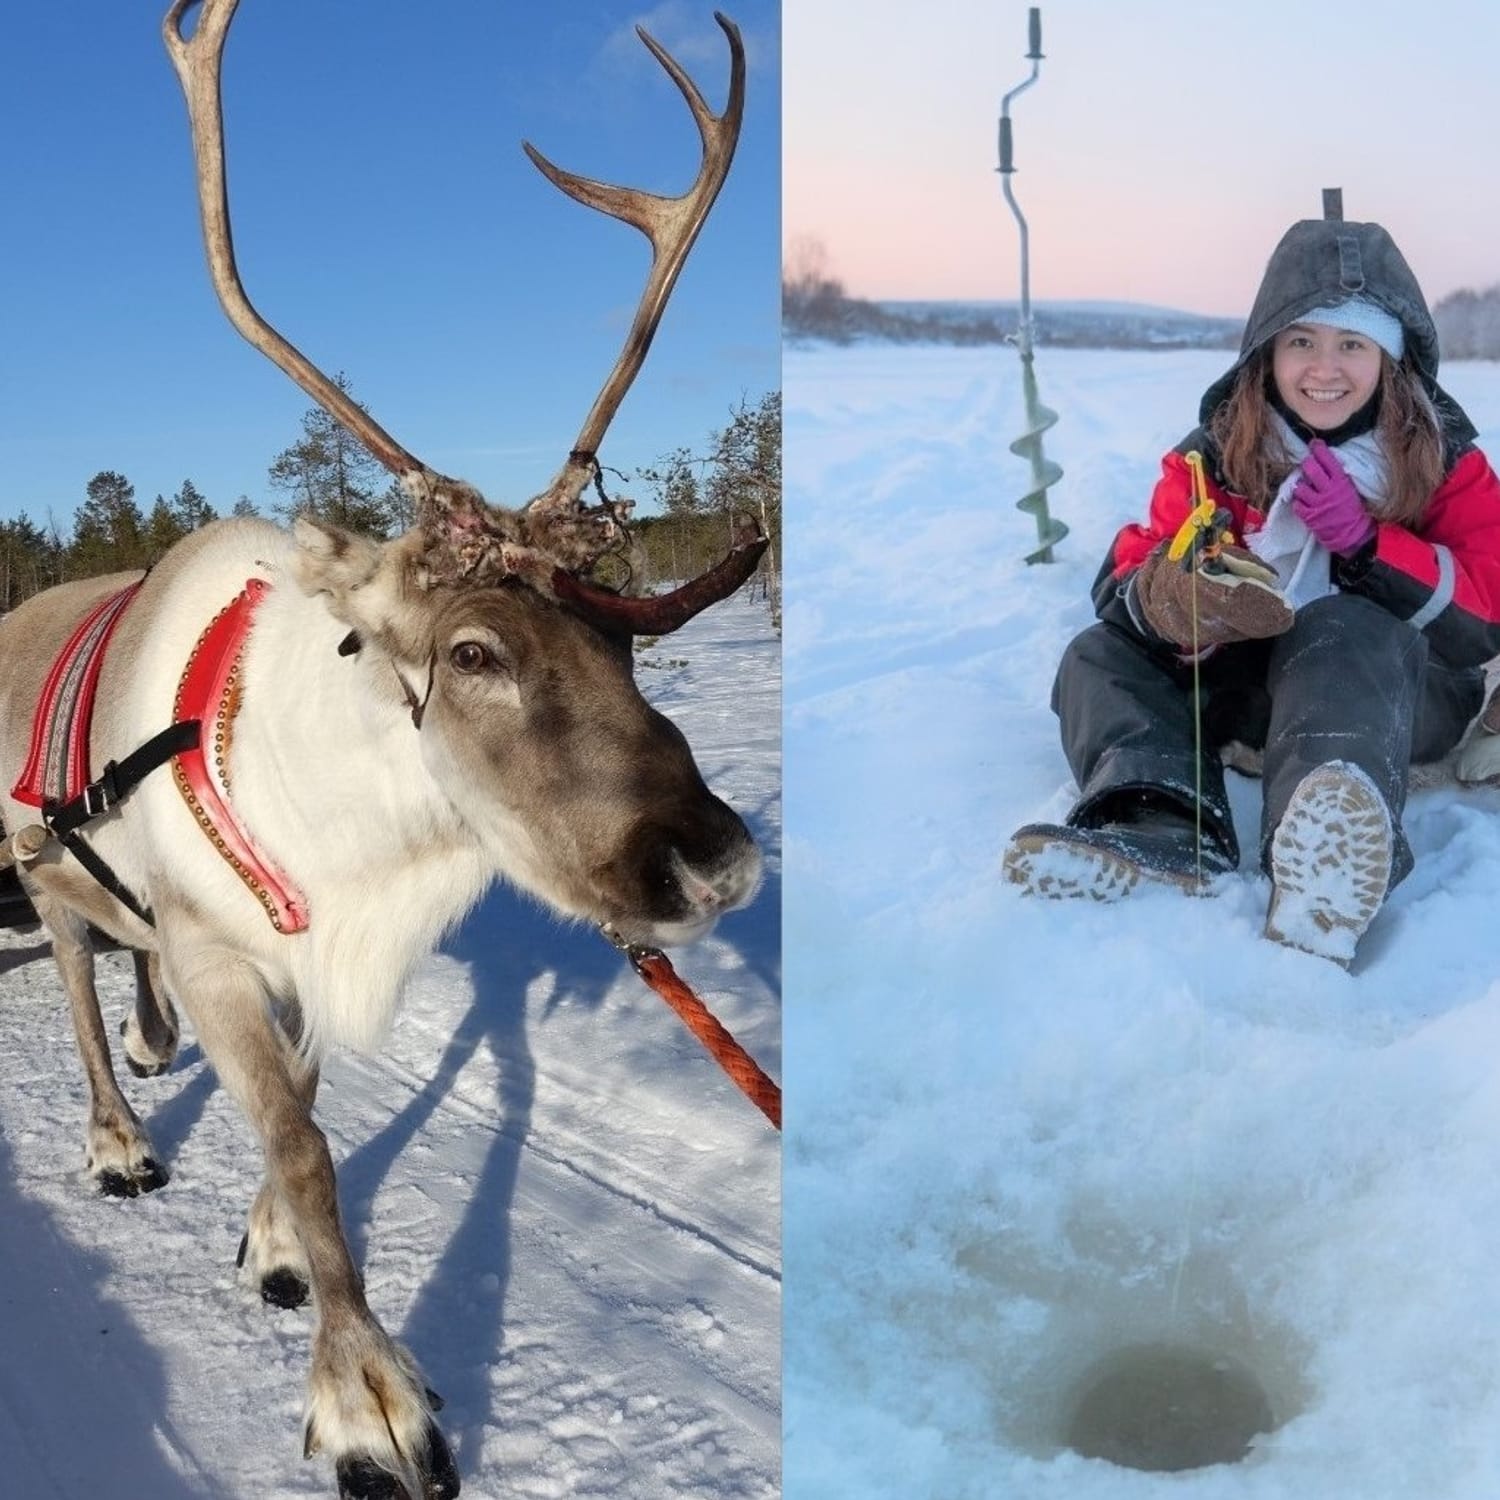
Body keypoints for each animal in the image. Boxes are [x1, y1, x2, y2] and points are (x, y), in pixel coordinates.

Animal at [0, 3, 767, 1496]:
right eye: (471, 653)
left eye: (628, 636)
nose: (713, 859)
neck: (350, 842)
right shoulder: (216, 941)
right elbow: (303, 1146)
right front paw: (366, 1397)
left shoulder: (312, 956)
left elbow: (300, 1105)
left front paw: (272, 1247)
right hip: (42, 868)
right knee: (70, 971)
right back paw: (120, 1139)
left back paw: (157, 1054)